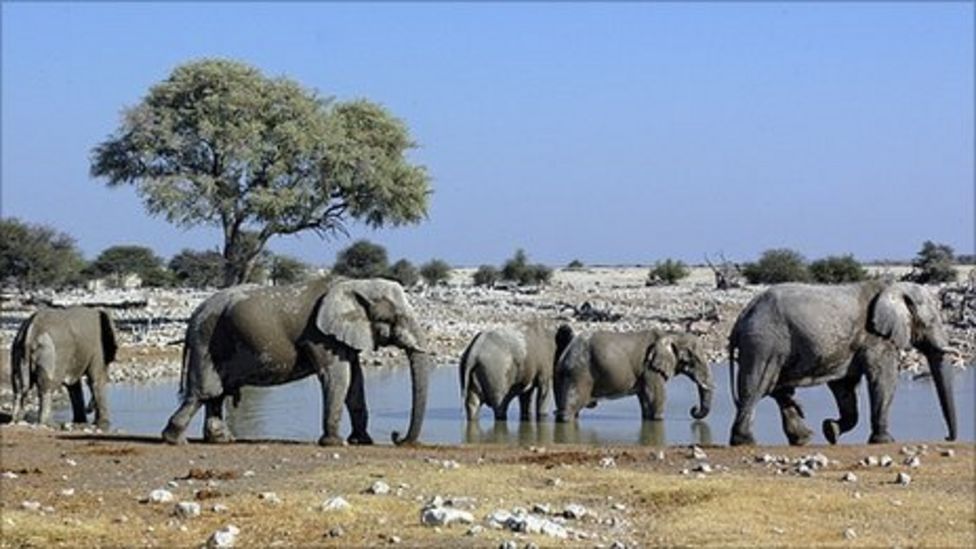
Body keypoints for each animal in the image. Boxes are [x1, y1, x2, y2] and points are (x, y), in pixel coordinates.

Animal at [161, 276, 432, 446]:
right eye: (390, 318)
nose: (397, 436)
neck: (354, 283)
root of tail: (193, 316)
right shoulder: (319, 334)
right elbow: (337, 377)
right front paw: (335, 443)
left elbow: (355, 382)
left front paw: (362, 441)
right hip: (205, 338)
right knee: (206, 392)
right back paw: (176, 440)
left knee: (216, 394)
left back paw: (221, 440)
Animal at [554, 329, 713, 424]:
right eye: (693, 360)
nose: (693, 409)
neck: (670, 334)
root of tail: (566, 352)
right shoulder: (650, 368)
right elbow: (655, 396)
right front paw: (658, 419)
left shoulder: (645, 371)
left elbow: (645, 398)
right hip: (579, 373)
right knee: (571, 406)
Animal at [727, 281, 958, 446]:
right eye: (932, 322)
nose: (947, 438)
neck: (893, 286)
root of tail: (742, 315)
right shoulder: (876, 337)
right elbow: (884, 378)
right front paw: (885, 441)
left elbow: (845, 387)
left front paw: (831, 431)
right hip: (764, 342)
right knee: (757, 386)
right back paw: (746, 442)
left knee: (778, 390)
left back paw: (802, 439)